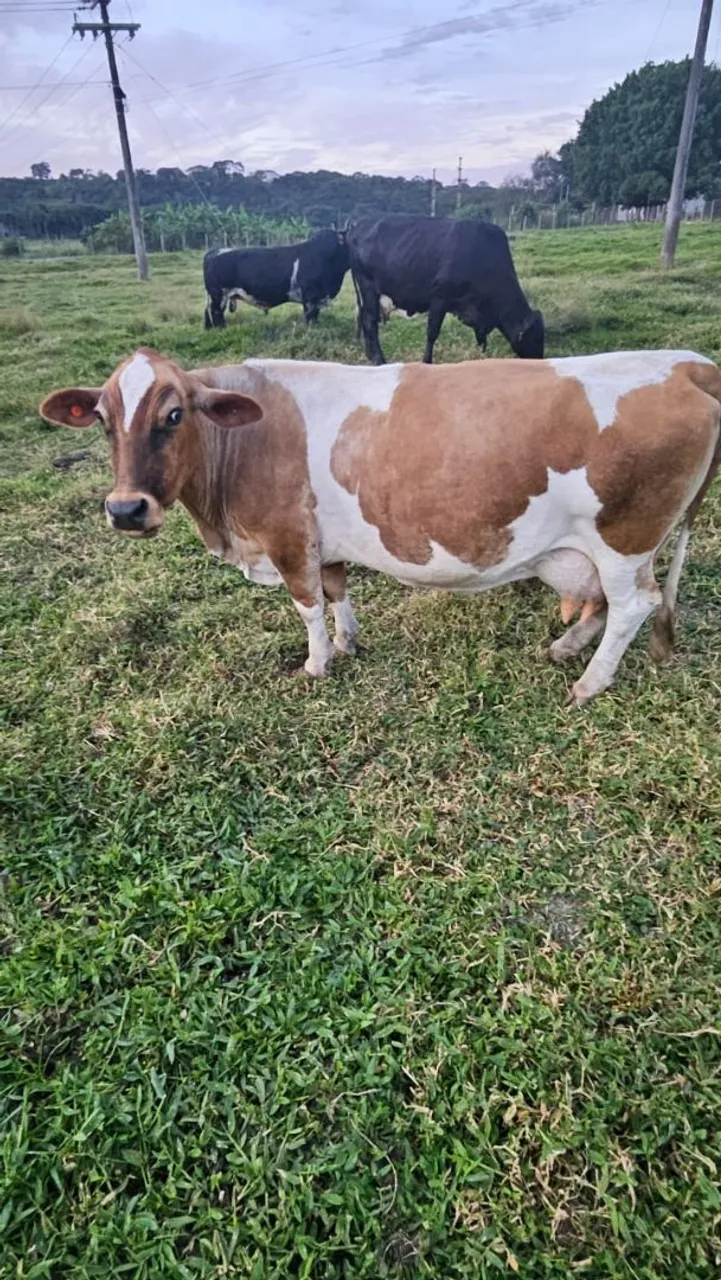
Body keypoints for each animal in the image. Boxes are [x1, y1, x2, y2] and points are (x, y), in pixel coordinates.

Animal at [40, 347, 721, 706]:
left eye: (175, 414)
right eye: (102, 420)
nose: (126, 510)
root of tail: (683, 362)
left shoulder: (287, 537)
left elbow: (308, 604)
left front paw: (316, 664)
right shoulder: (323, 543)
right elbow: (338, 590)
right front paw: (347, 642)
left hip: (624, 537)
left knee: (634, 604)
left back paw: (589, 681)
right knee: (607, 602)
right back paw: (567, 646)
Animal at [203, 228, 349, 329]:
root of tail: (214, 252)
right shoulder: (310, 296)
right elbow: (310, 316)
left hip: (214, 296)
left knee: (208, 311)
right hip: (218, 294)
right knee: (216, 312)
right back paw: (221, 329)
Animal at [348, 214, 544, 365]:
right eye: (535, 338)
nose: (541, 360)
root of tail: (359, 224)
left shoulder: (479, 315)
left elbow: (481, 340)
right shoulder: (439, 299)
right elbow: (432, 333)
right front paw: (427, 361)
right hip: (369, 288)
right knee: (370, 322)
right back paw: (379, 360)